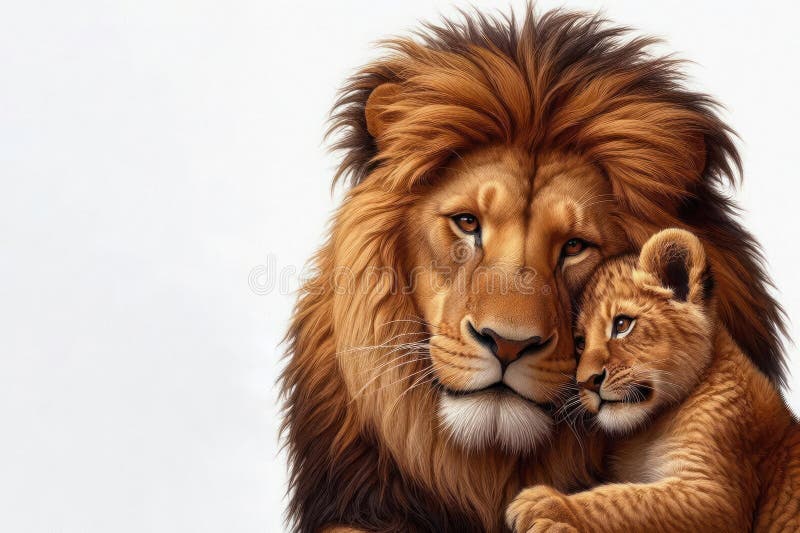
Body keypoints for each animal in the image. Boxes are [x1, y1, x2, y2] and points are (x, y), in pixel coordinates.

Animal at [506, 229, 800, 532]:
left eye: (622, 325)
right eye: (580, 343)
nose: (587, 382)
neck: (649, 429)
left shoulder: (717, 495)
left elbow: (625, 501)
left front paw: (546, 503)